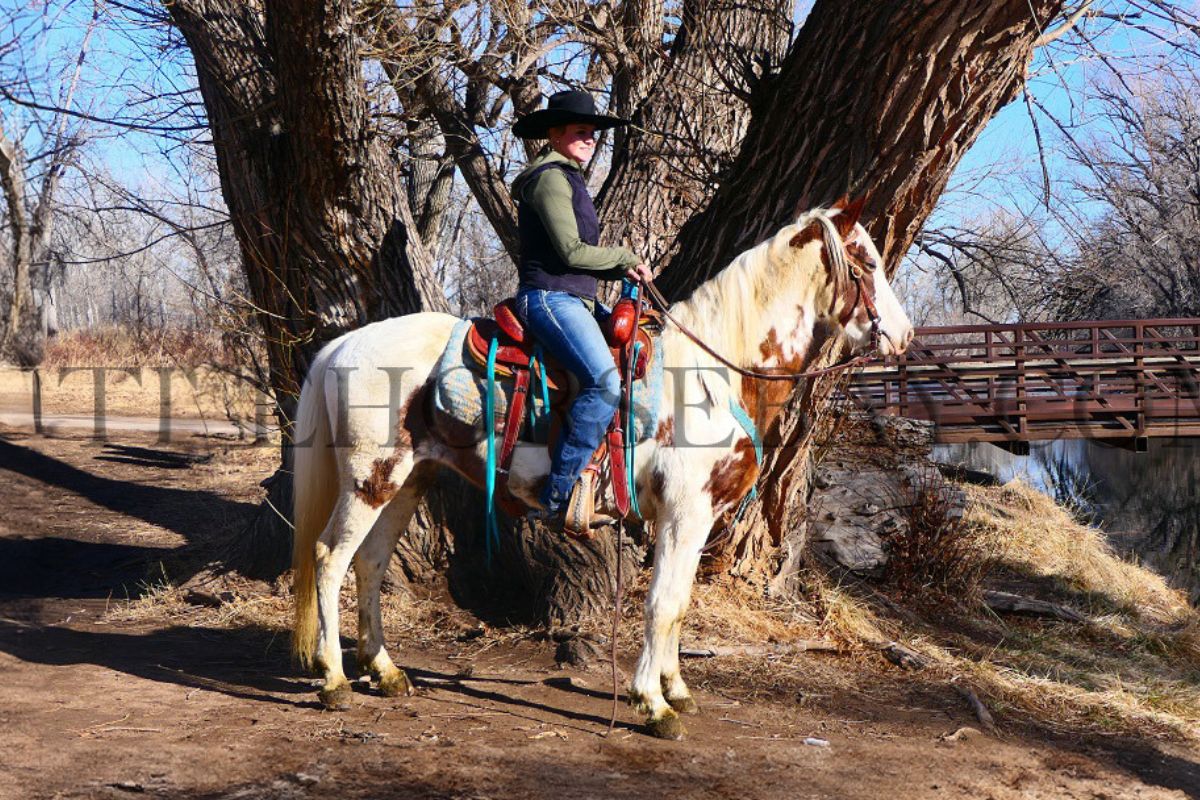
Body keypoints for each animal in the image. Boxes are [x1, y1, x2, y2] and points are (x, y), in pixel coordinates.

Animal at [289, 198, 914, 739]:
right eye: (868, 262)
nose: (905, 336)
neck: (712, 376)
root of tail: (343, 344)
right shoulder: (684, 514)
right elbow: (661, 604)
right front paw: (652, 704)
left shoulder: (696, 518)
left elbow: (679, 604)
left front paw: (675, 688)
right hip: (370, 480)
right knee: (329, 558)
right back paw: (334, 679)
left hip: (407, 483)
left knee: (369, 563)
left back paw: (386, 672)